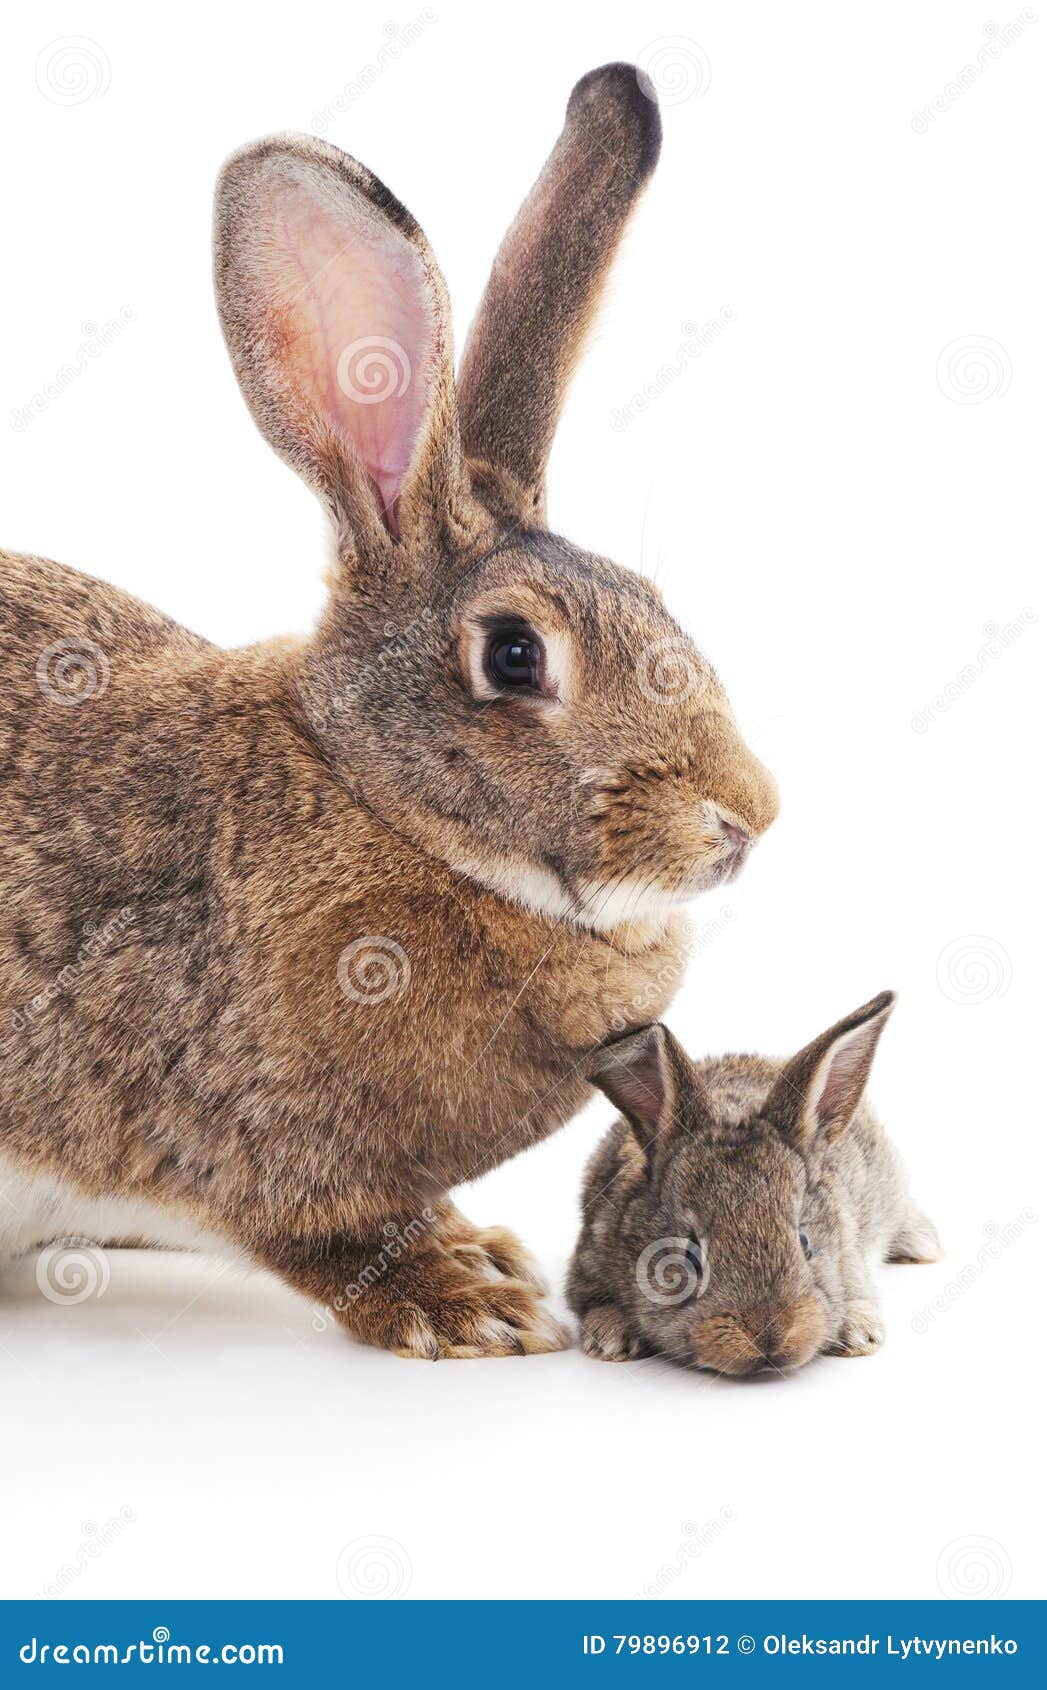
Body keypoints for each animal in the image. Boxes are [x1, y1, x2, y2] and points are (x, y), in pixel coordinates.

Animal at [0, 64, 778, 1359]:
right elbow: (329, 1236)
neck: (376, 800)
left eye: (655, 602)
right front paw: (468, 1302)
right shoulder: (246, 1137)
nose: (746, 817)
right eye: (514, 655)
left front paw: (490, 1256)